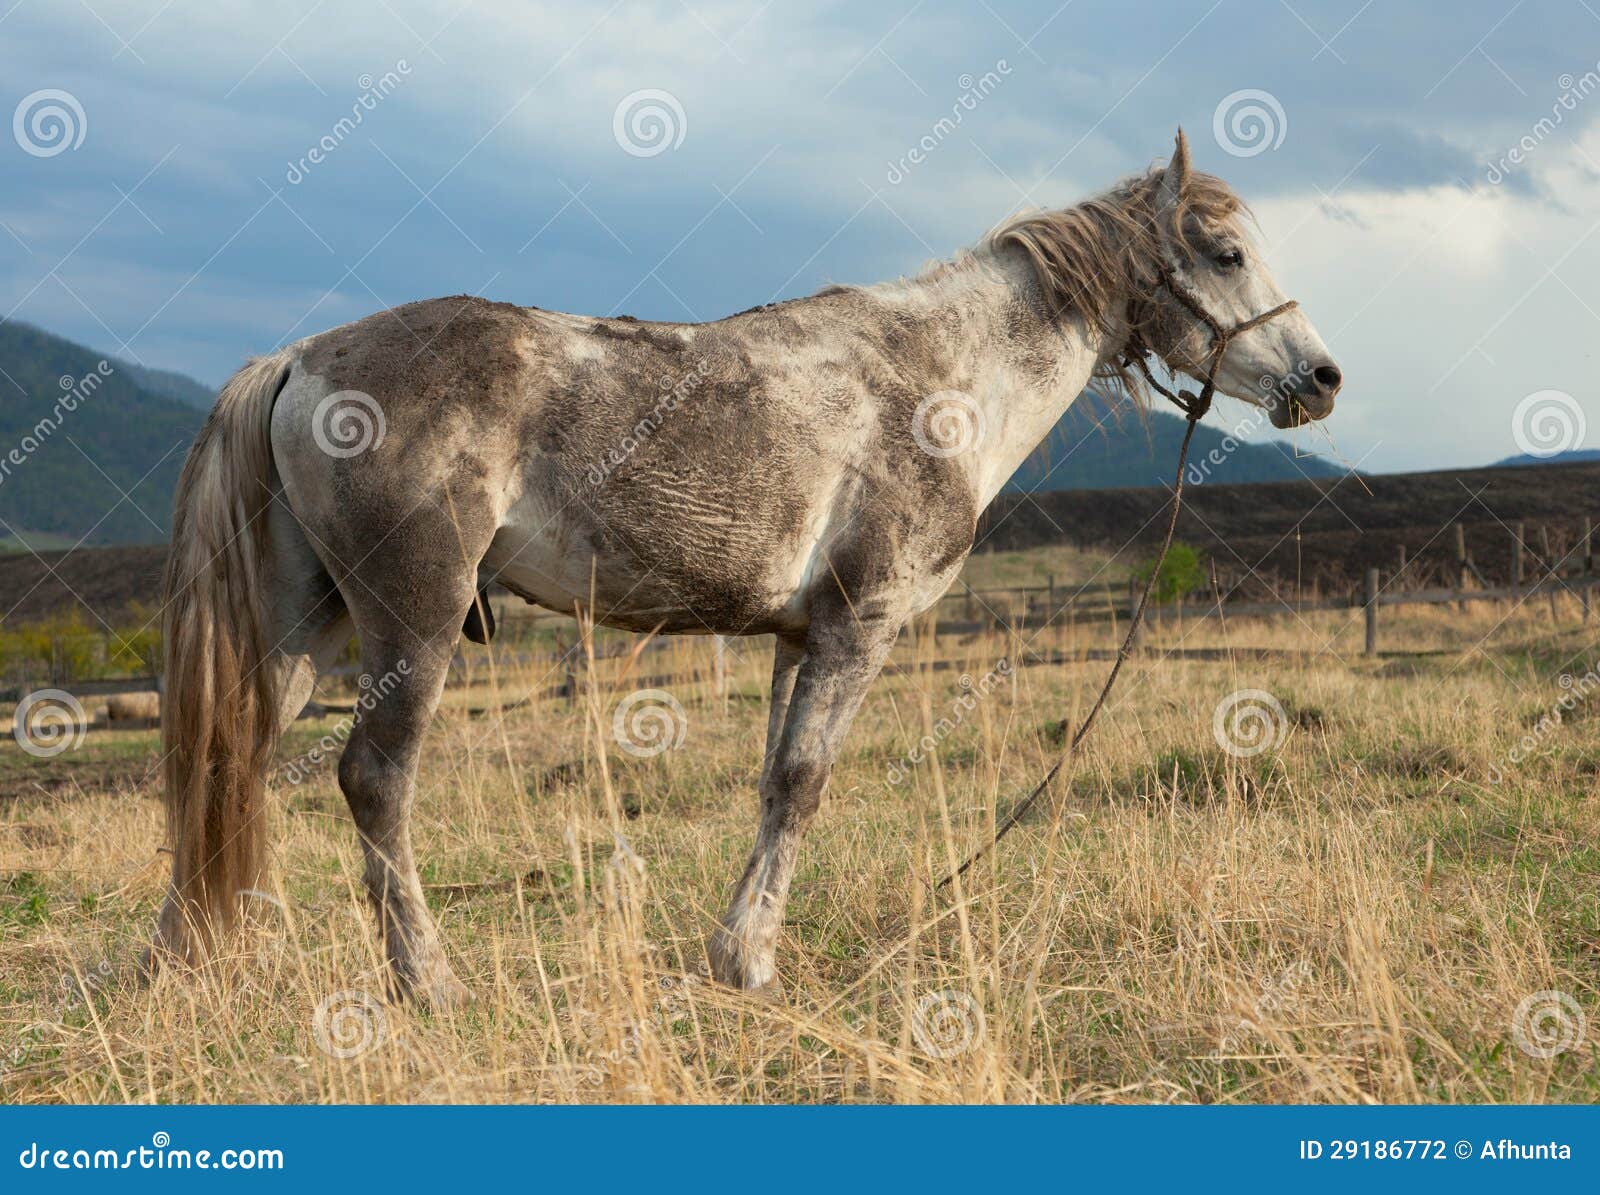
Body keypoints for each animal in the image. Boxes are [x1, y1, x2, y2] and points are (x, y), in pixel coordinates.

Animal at [152, 130, 1341, 1004]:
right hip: (414, 621)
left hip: (304, 628)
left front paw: (733, 951)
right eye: (1224, 255)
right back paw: (427, 982)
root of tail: (300, 359)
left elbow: (774, 782)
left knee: (228, 763)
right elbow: (806, 782)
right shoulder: (860, 625)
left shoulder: (795, 636)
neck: (944, 377)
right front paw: (749, 962)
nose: (1322, 377)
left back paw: (192, 960)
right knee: (372, 781)